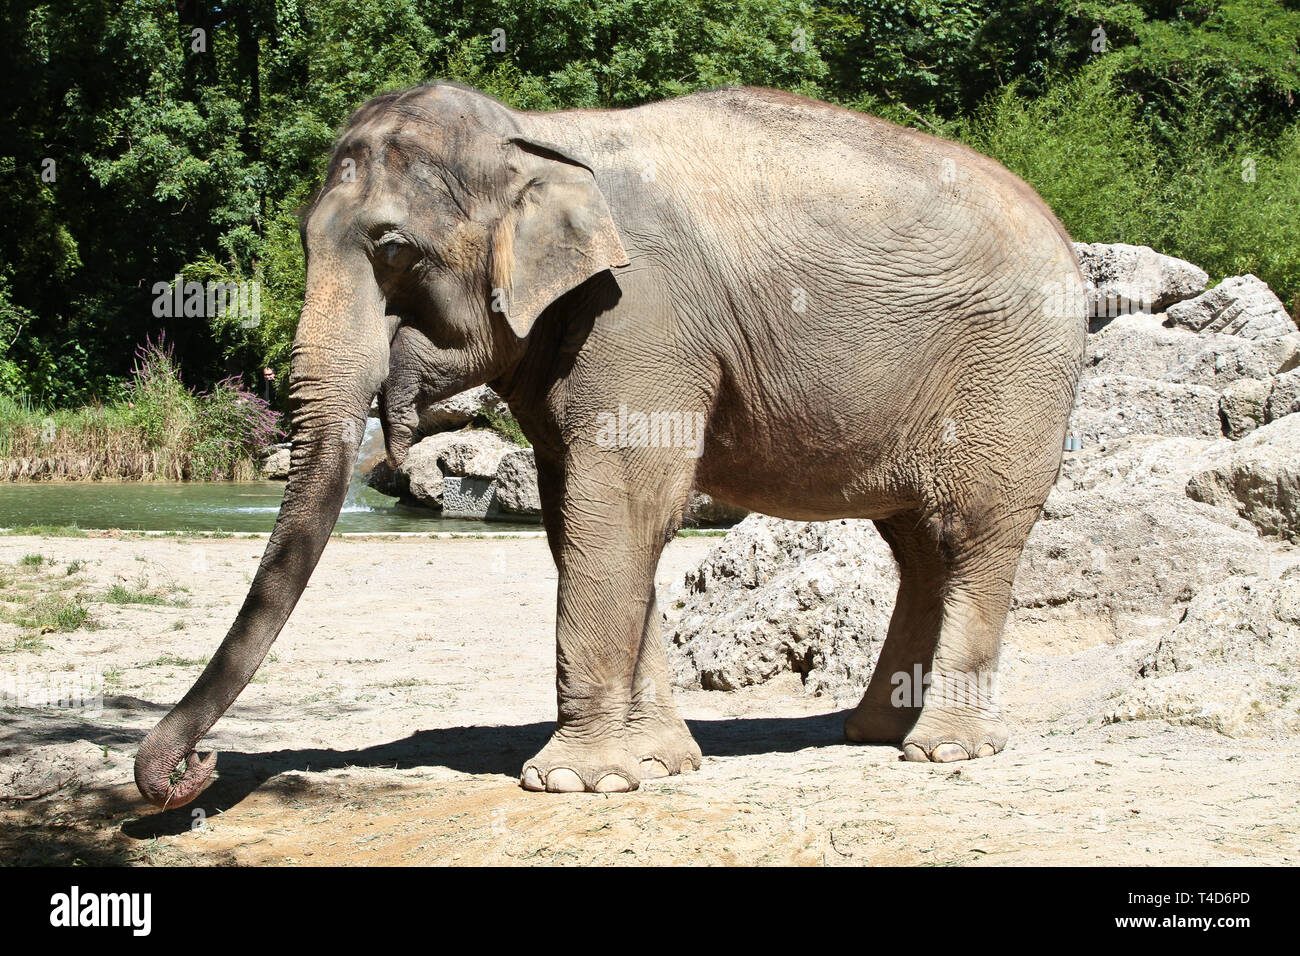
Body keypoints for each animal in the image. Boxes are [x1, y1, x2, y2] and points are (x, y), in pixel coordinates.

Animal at [134, 82, 1086, 805]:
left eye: (394, 250)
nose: (192, 773)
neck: (536, 137)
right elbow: (581, 511)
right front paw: (660, 764)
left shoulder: (639, 313)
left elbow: (619, 501)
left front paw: (569, 782)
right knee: (920, 544)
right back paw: (874, 731)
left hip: (1012, 379)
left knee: (974, 533)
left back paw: (941, 749)